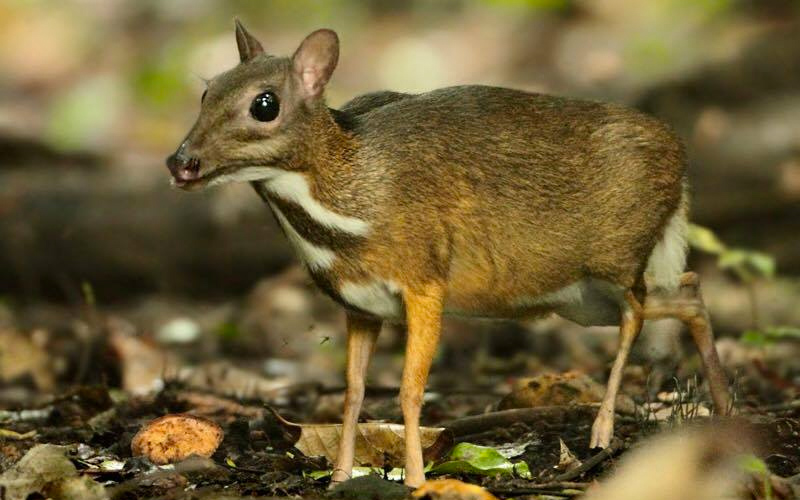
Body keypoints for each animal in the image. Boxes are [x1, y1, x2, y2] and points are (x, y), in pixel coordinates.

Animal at [166, 21, 731, 487]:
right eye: (207, 91)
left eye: (265, 104)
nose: (181, 162)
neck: (351, 199)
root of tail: (680, 157)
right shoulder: (359, 306)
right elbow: (353, 392)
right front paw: (341, 477)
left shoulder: (425, 281)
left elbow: (409, 391)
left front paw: (417, 479)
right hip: (580, 297)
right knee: (686, 289)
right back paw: (724, 403)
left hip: (615, 260)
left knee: (638, 310)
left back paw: (603, 429)